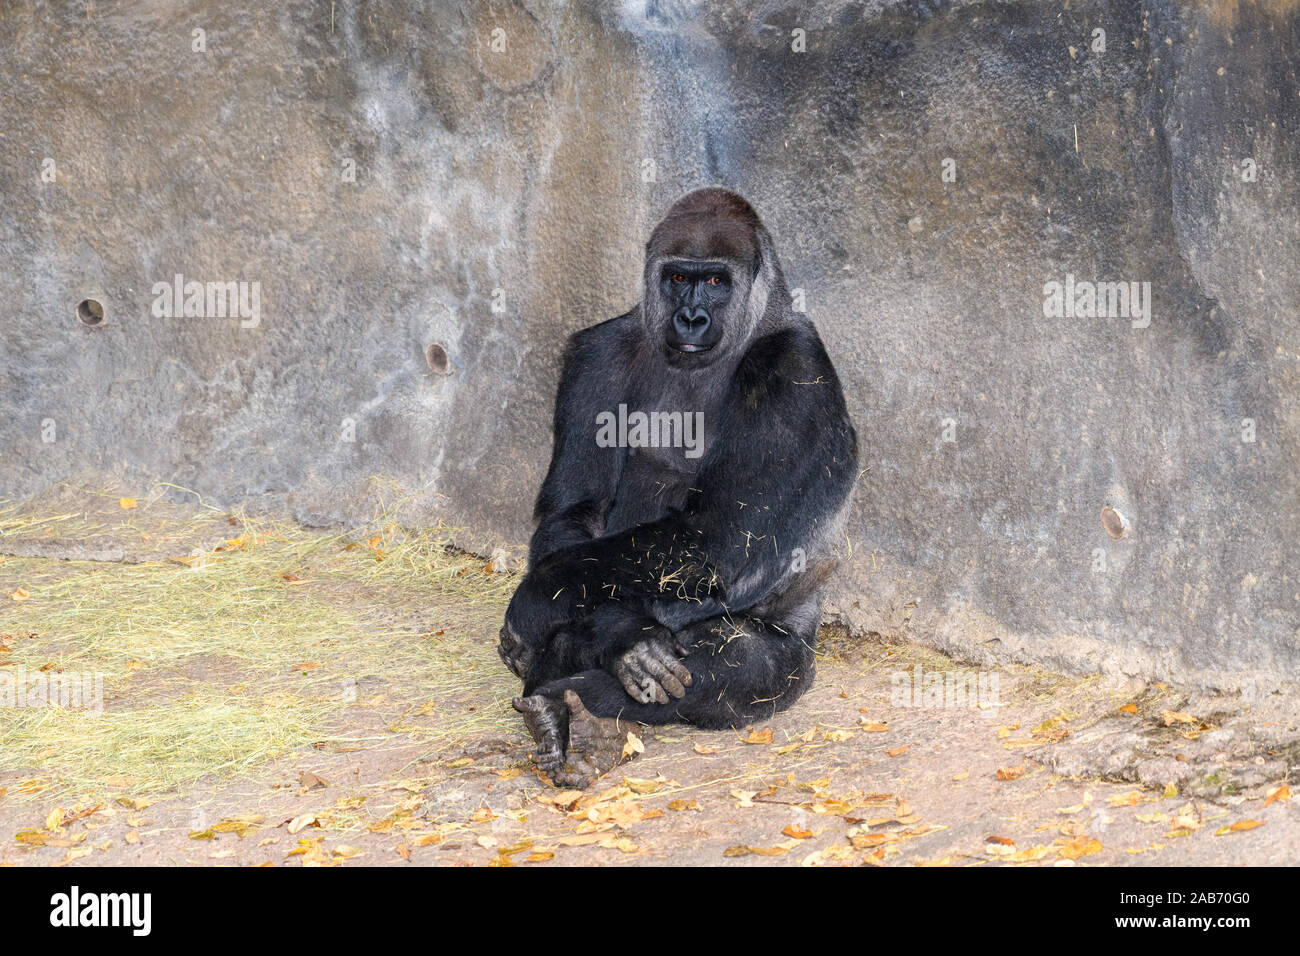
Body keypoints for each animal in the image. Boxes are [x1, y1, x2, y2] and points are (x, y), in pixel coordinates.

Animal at [497, 187, 858, 787]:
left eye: (714, 280)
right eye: (676, 278)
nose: (691, 317)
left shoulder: (793, 367)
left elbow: (720, 538)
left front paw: (535, 601)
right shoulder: (598, 354)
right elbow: (574, 515)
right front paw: (622, 636)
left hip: (799, 655)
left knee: (732, 662)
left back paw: (579, 714)